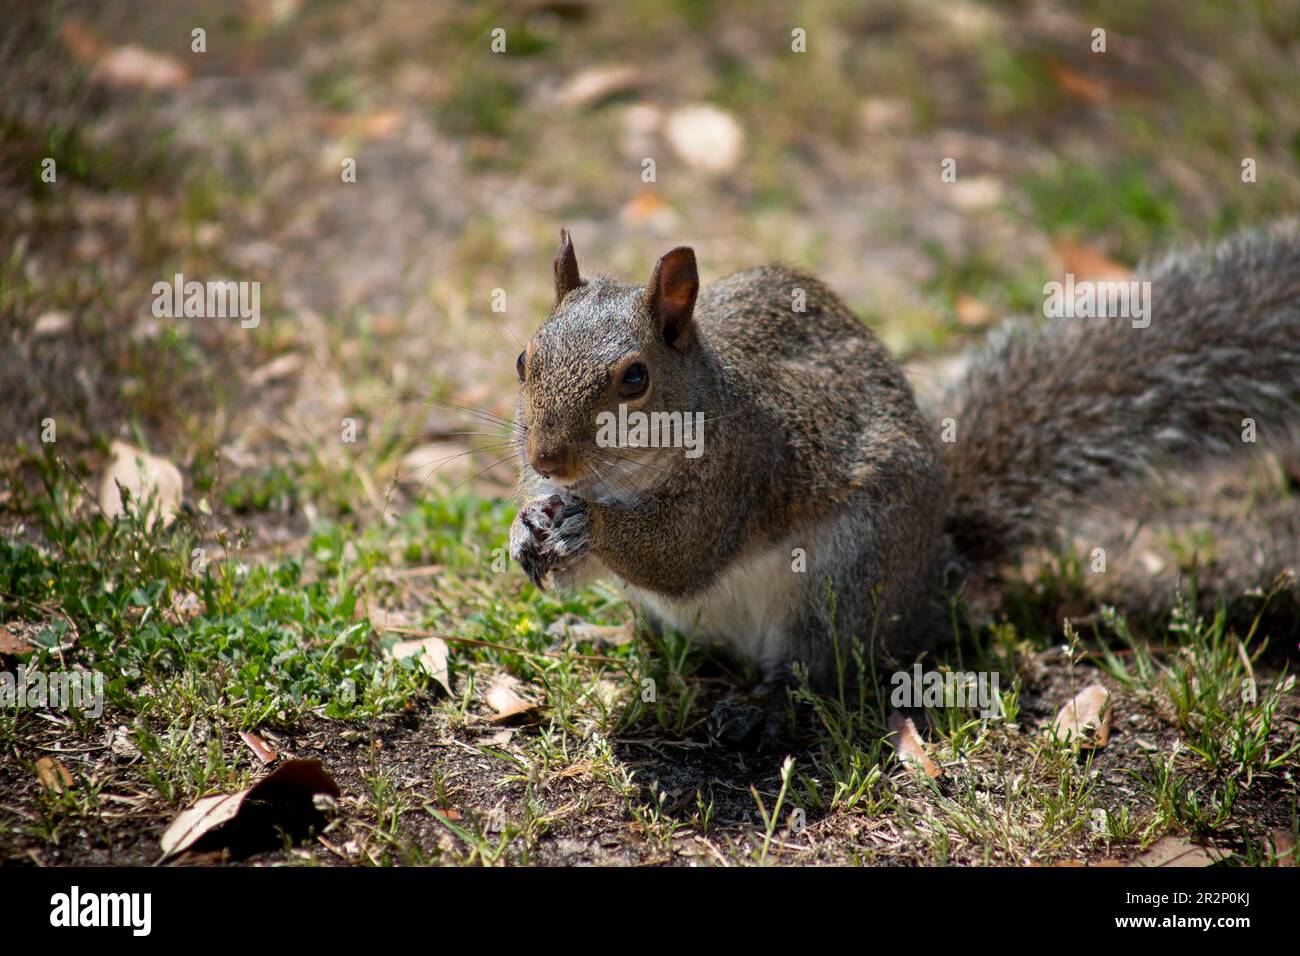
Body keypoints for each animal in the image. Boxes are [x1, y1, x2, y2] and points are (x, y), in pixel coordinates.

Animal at [509, 225, 1300, 743]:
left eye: (634, 378)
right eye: (523, 360)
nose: (547, 458)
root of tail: (932, 581)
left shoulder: (740, 470)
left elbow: (680, 554)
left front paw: (591, 530)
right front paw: (530, 528)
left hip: (844, 580)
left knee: (821, 667)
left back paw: (764, 707)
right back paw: (607, 630)